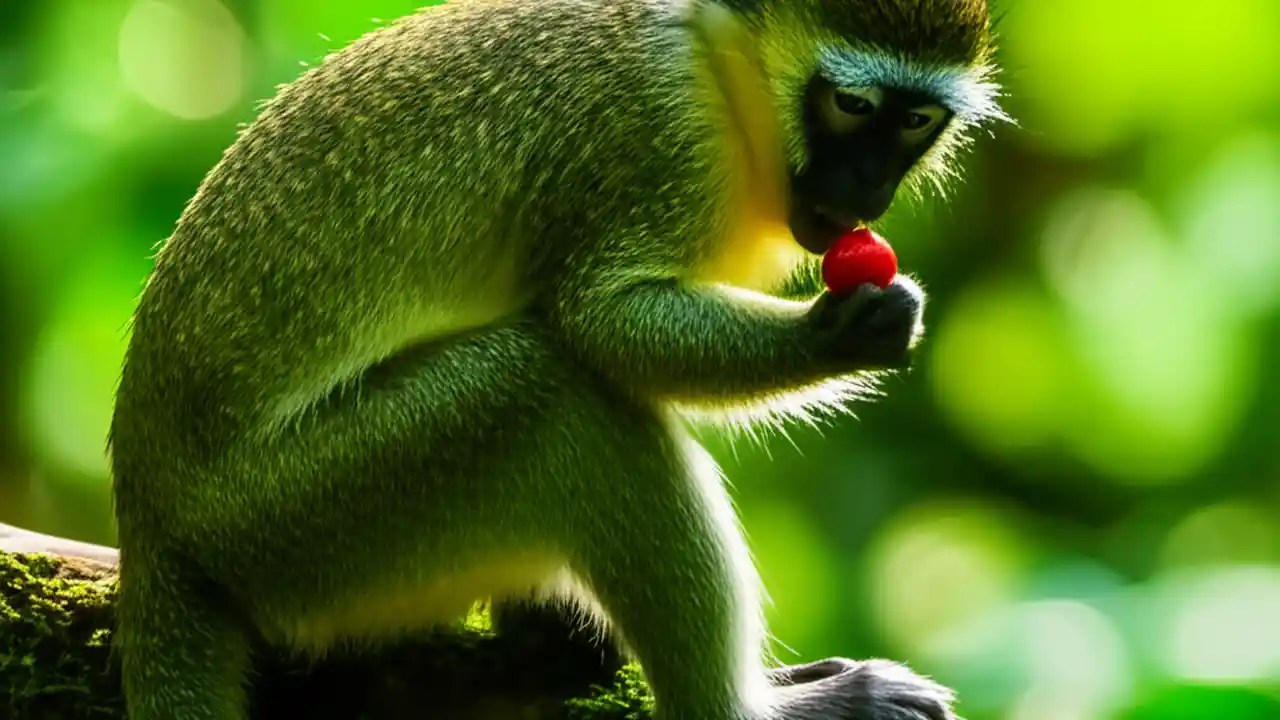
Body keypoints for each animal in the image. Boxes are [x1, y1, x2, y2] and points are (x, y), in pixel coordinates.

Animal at [106, 0, 1008, 718]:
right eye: (853, 105)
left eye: (915, 123)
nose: (865, 188)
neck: (720, 72)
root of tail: (150, 514)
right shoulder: (654, 136)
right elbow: (599, 324)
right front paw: (848, 330)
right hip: (294, 522)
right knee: (552, 392)